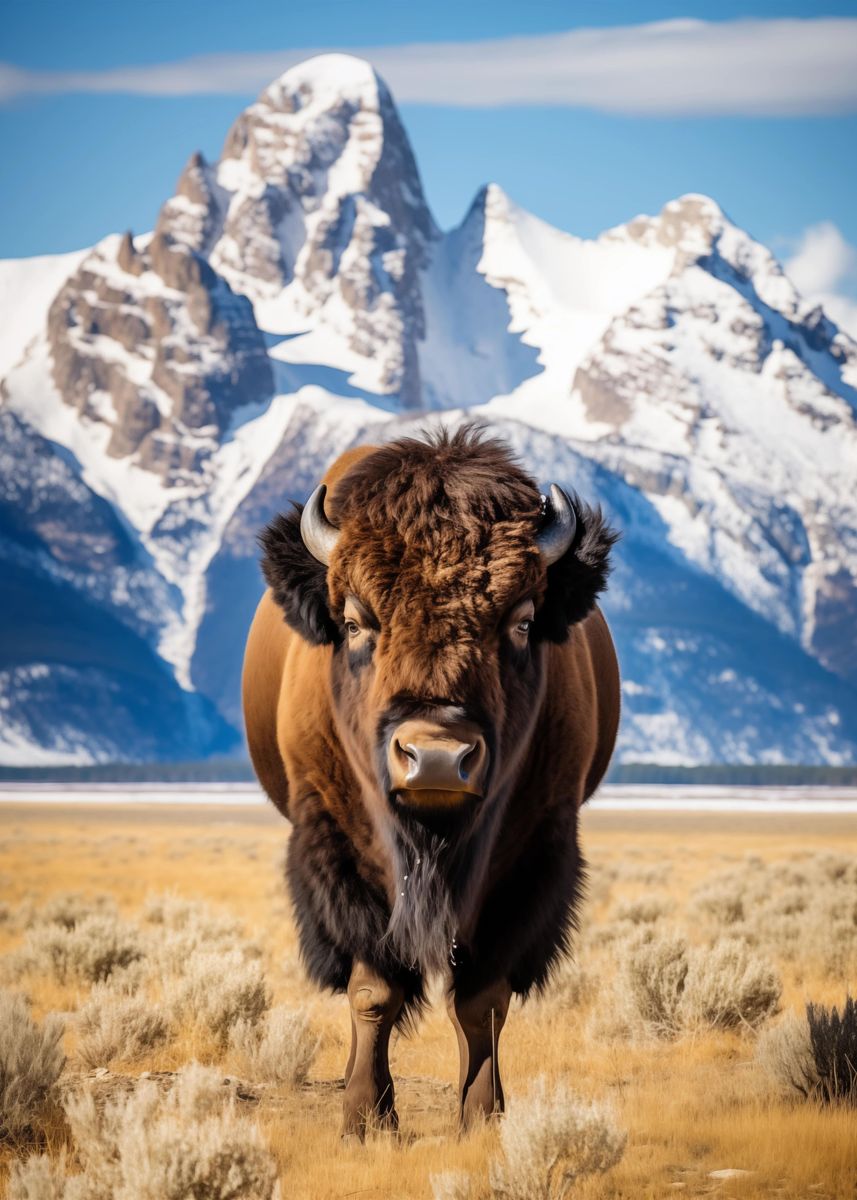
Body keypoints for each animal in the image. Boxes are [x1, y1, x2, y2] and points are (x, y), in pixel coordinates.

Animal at [242, 426, 619, 1136]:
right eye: (356, 621)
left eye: (522, 620)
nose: (437, 757)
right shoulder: (339, 852)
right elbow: (374, 991)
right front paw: (367, 1119)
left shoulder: (530, 857)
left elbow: (483, 999)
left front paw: (483, 1114)